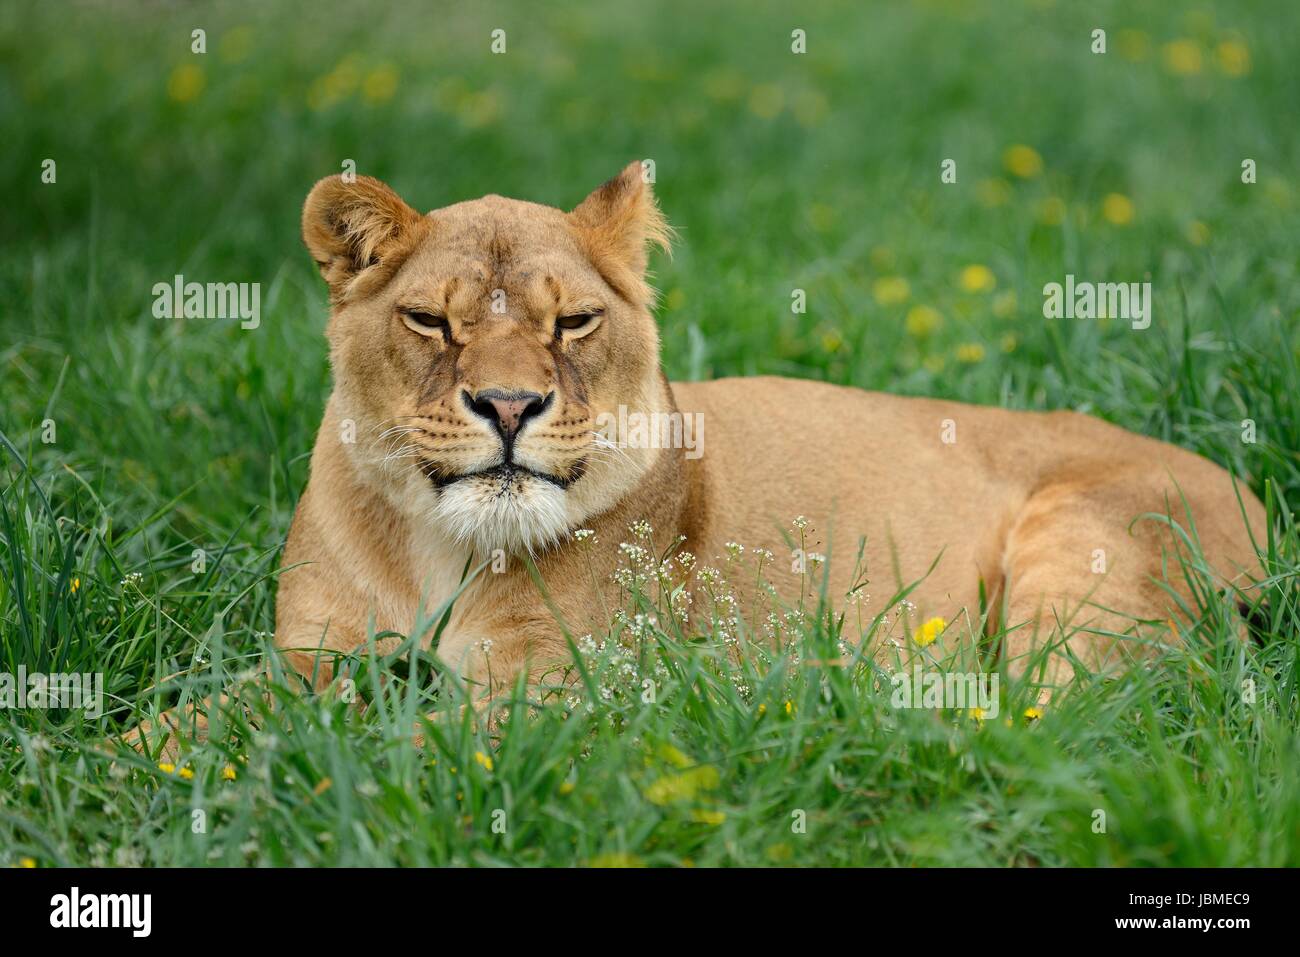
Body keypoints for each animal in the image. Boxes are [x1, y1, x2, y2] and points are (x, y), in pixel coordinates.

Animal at [272, 160, 1266, 704]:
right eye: (430, 321)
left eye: (576, 323)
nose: (510, 406)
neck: (439, 545)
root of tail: (1261, 502)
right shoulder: (309, 651)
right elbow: (253, 729)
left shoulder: (553, 686)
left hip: (1082, 559)